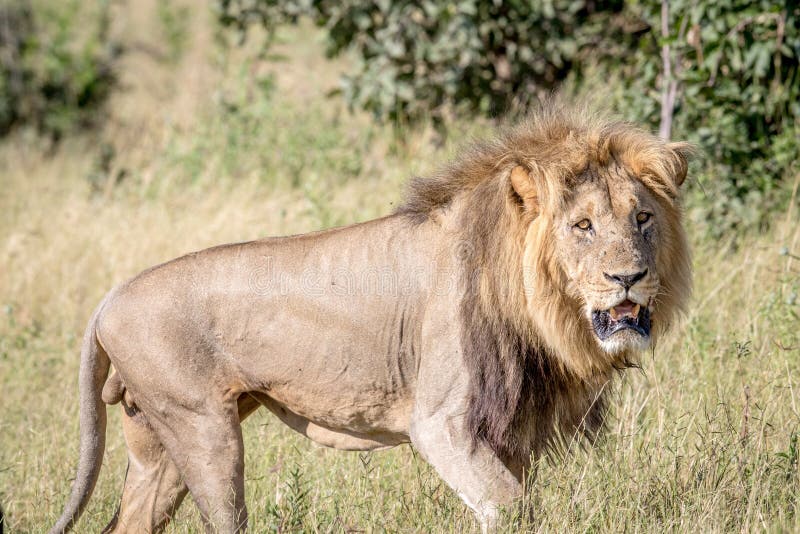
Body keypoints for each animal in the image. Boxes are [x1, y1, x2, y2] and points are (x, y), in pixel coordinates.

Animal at [51, 105, 692, 533]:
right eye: (582, 225)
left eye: (641, 218)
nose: (629, 277)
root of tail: (109, 298)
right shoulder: (442, 423)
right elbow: (513, 508)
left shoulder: (507, 430)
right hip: (201, 428)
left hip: (157, 443)